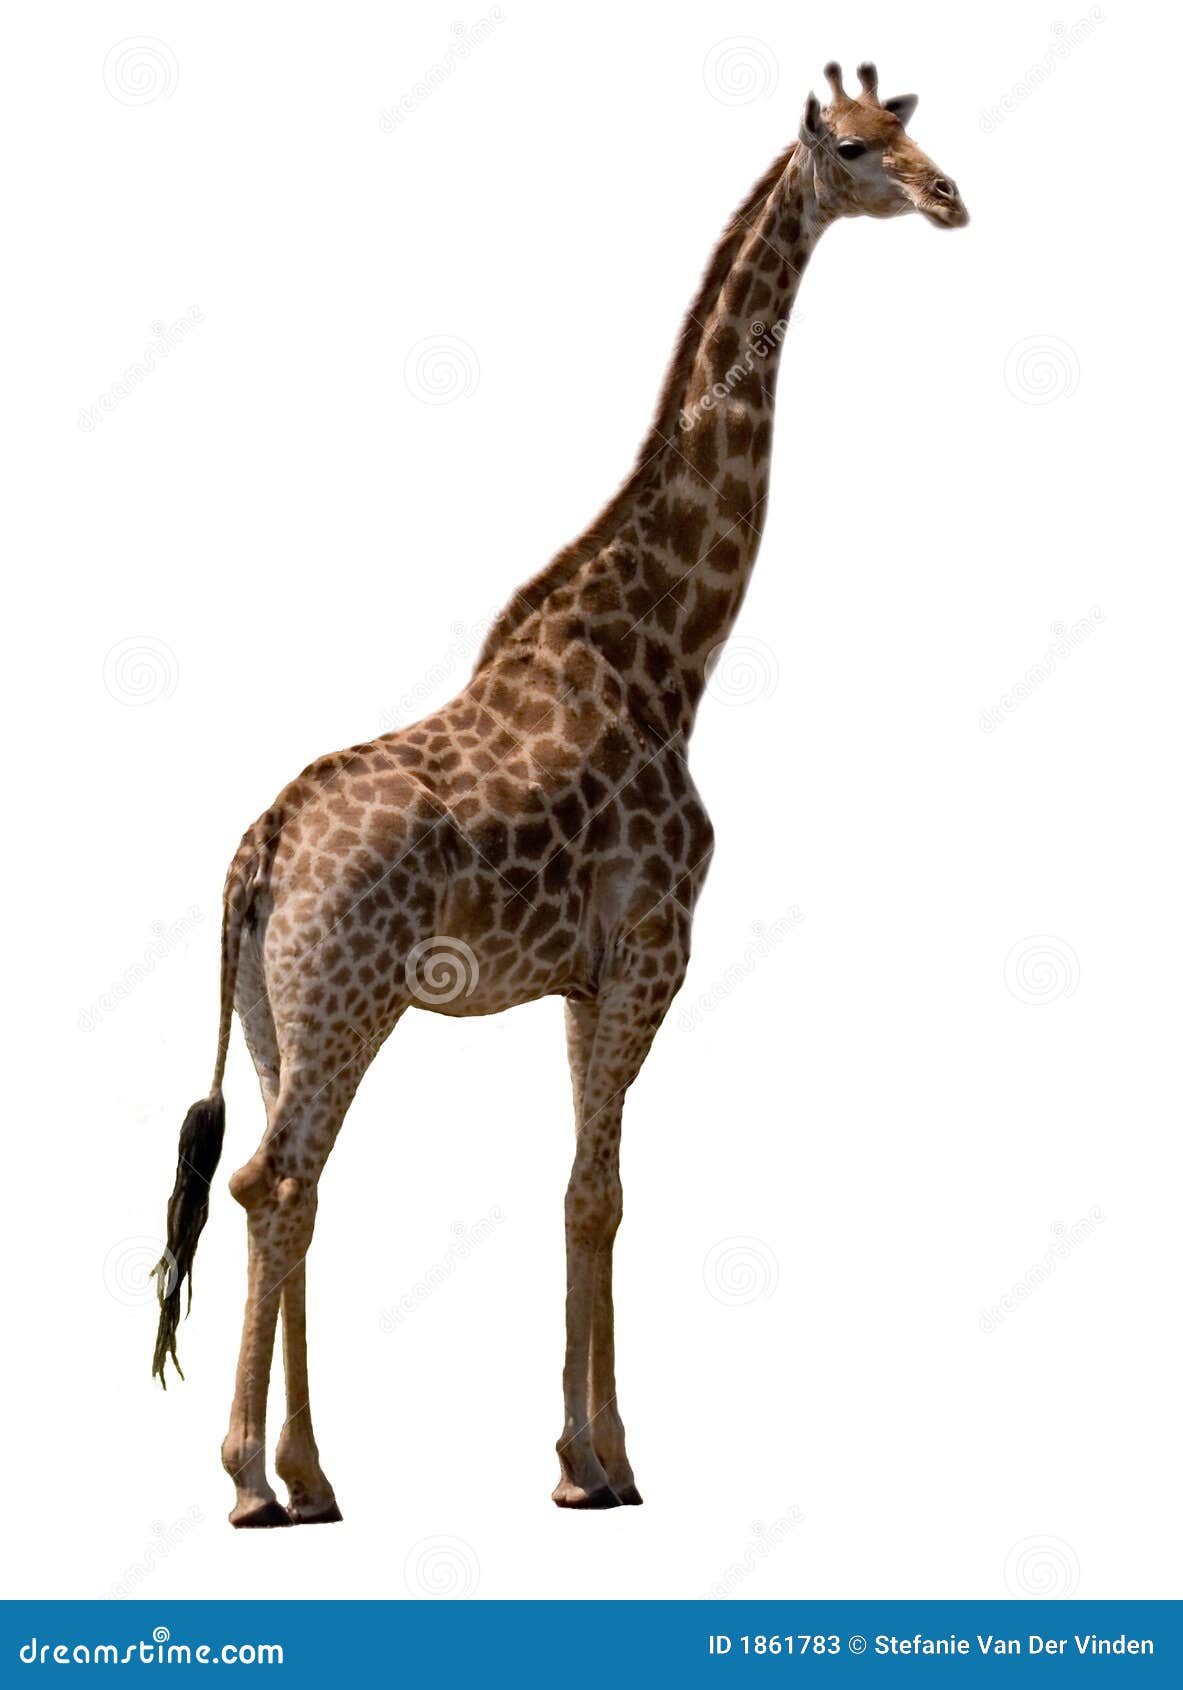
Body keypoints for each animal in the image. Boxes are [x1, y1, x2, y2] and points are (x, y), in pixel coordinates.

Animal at [153, 61, 967, 1525]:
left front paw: (578, 1455)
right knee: (274, 1178)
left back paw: (314, 1471)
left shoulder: (587, 977)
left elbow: (584, 1189)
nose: (949, 196)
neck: (670, 656)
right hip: (348, 995)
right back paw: (252, 1479)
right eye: (853, 148)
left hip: (270, 1014)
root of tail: (260, 852)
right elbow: (601, 1193)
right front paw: (604, 1463)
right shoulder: (652, 952)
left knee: (294, 1186)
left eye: (909, 130)